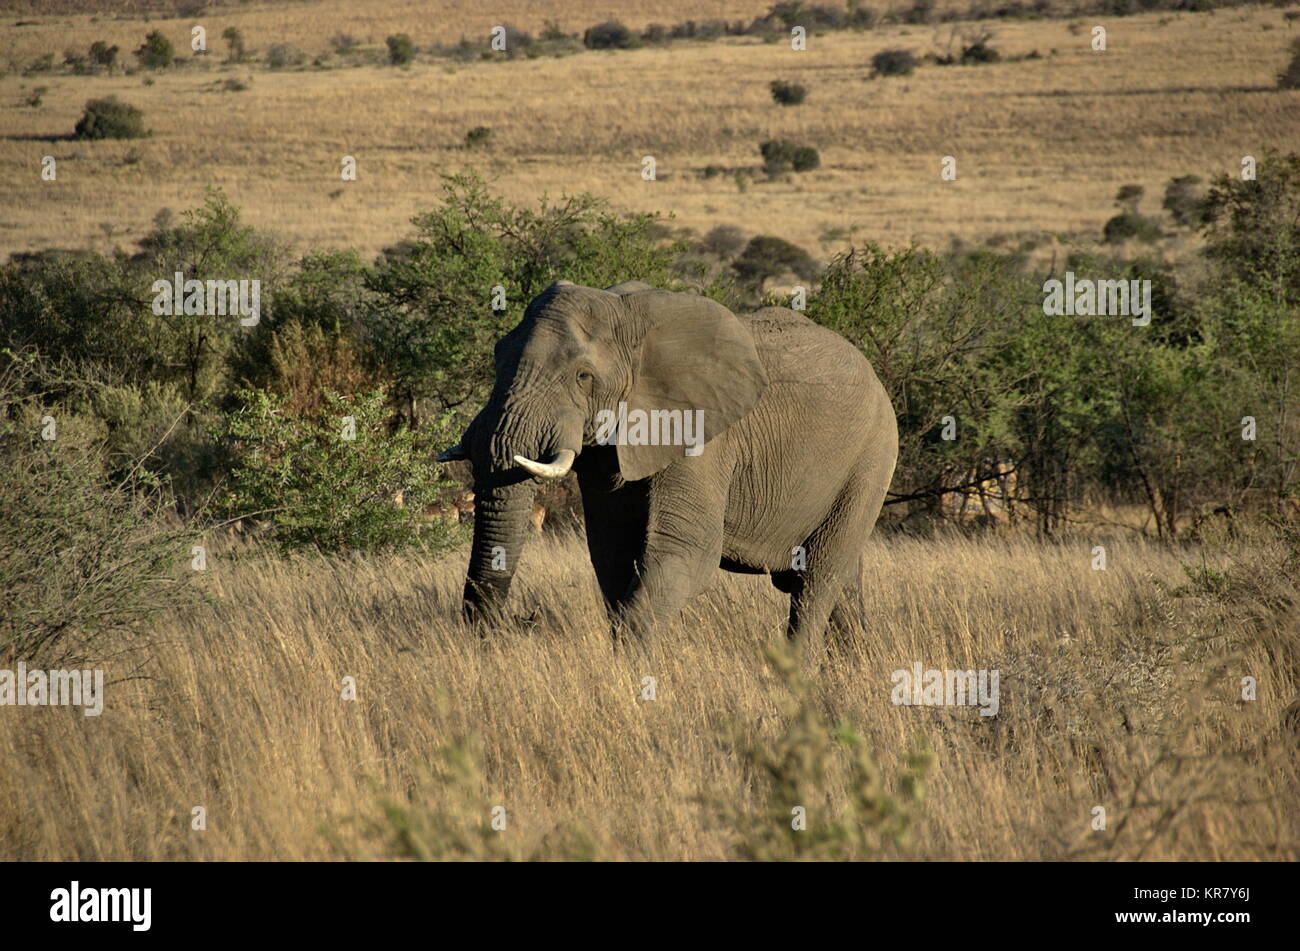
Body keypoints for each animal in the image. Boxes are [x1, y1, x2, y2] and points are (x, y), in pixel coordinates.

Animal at [438, 280, 898, 664]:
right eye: (497, 357)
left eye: (583, 376)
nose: (502, 632)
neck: (628, 319)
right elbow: (612, 552)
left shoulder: (700, 432)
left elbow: (687, 553)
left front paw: (634, 680)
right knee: (841, 584)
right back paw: (854, 669)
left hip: (870, 459)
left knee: (817, 580)